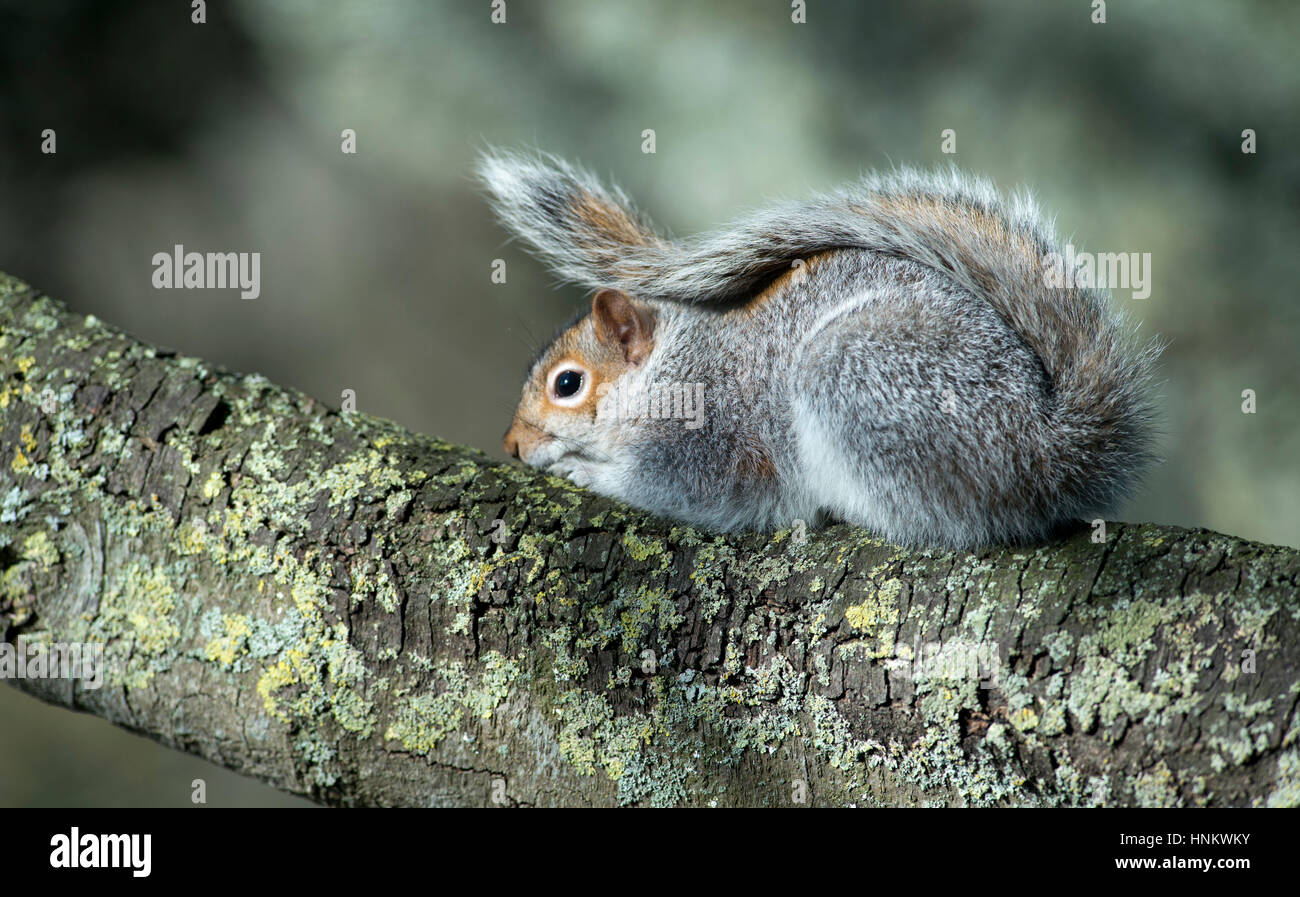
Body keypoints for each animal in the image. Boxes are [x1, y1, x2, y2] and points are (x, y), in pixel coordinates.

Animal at [481, 148, 1161, 549]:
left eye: (568, 384)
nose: (511, 445)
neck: (670, 370)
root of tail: (1047, 447)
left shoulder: (708, 445)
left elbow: (670, 490)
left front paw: (585, 471)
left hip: (854, 377)